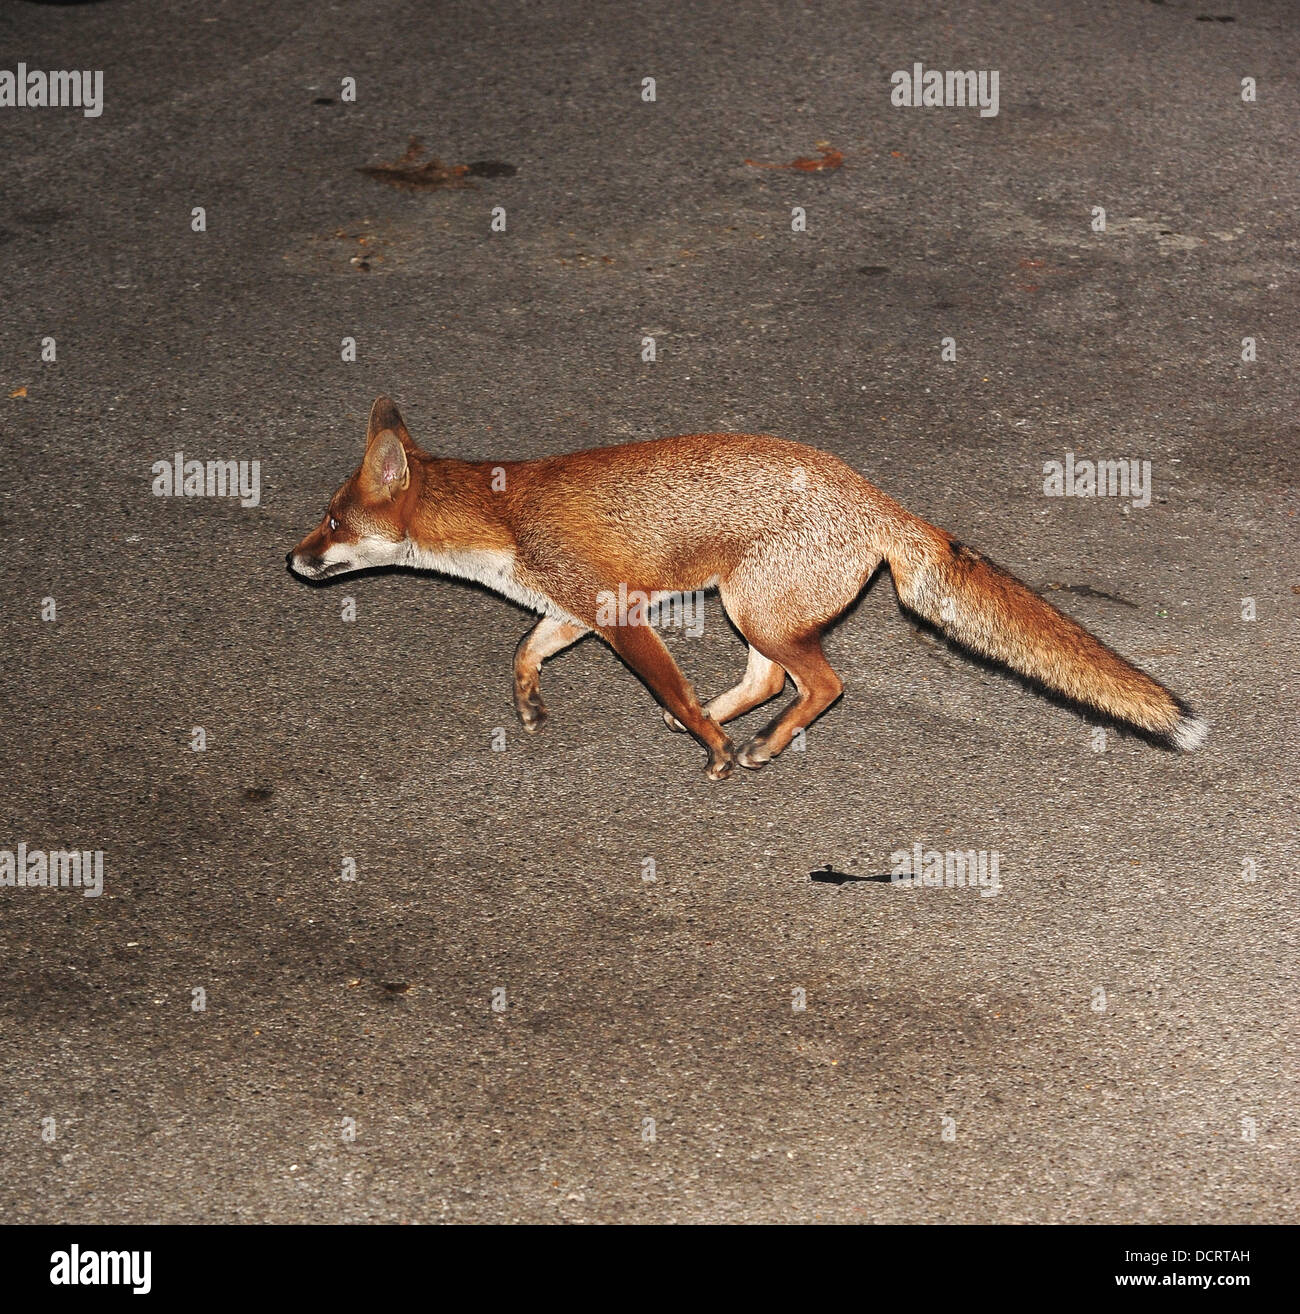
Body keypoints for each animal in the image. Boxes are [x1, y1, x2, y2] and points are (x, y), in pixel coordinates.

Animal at [287, 396, 1208, 779]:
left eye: (328, 522)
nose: (291, 559)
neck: (501, 521)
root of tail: (879, 498)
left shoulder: (617, 616)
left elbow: (668, 688)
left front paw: (716, 753)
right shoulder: (576, 611)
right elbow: (523, 651)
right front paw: (531, 706)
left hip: (753, 610)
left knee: (823, 684)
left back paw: (754, 742)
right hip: (753, 614)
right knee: (774, 681)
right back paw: (740, 722)